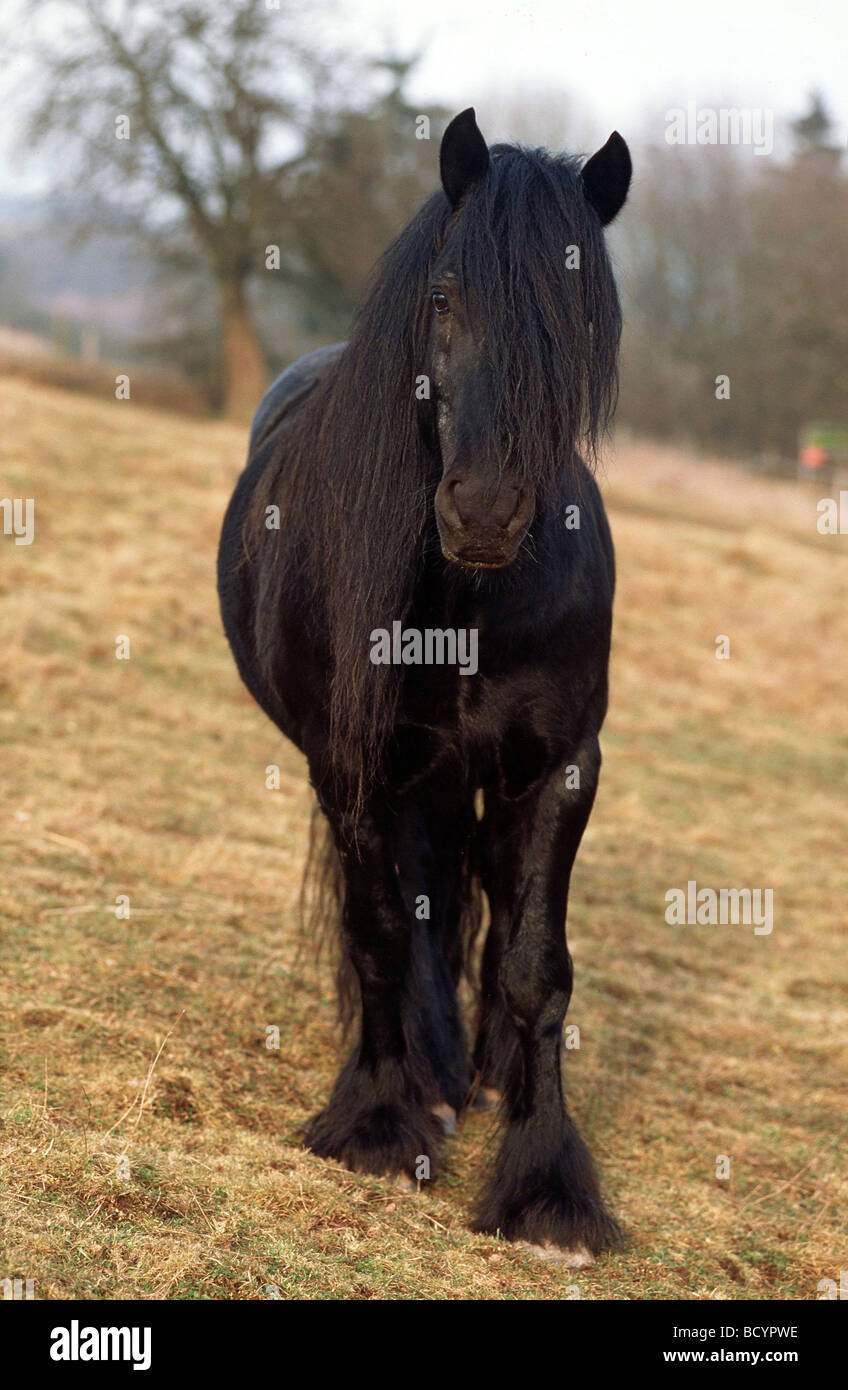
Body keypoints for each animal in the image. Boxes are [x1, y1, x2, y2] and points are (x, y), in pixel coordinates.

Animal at [217, 108, 631, 1264]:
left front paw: (545, 1186)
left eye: (583, 314)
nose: (483, 508)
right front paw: (375, 1121)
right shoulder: (350, 766)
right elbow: (378, 931)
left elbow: (537, 965)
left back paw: (478, 1072)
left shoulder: (559, 767)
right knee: (417, 906)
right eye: (443, 298)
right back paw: (435, 1078)